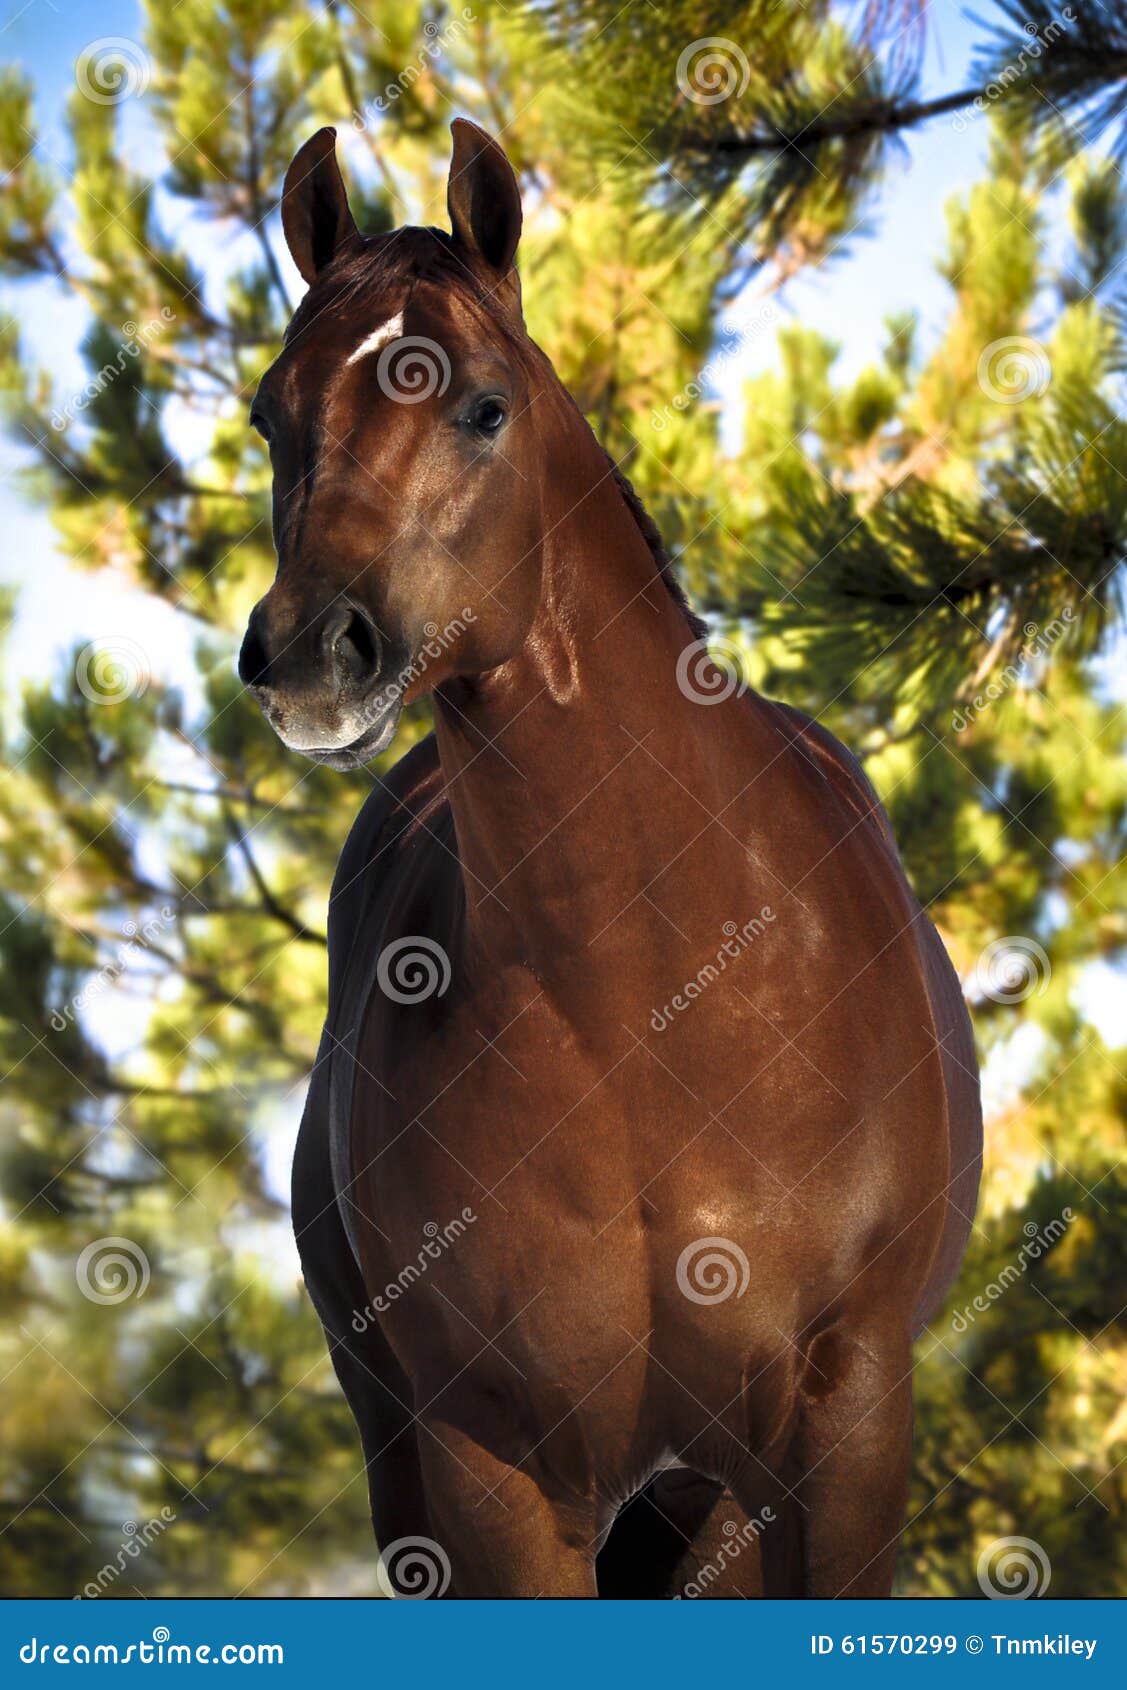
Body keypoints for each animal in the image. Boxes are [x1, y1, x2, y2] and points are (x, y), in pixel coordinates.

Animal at [238, 118, 982, 1599]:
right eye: (270, 414)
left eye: (480, 406)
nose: (308, 653)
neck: (648, 992)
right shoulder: (492, 1465)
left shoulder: (841, 1428)